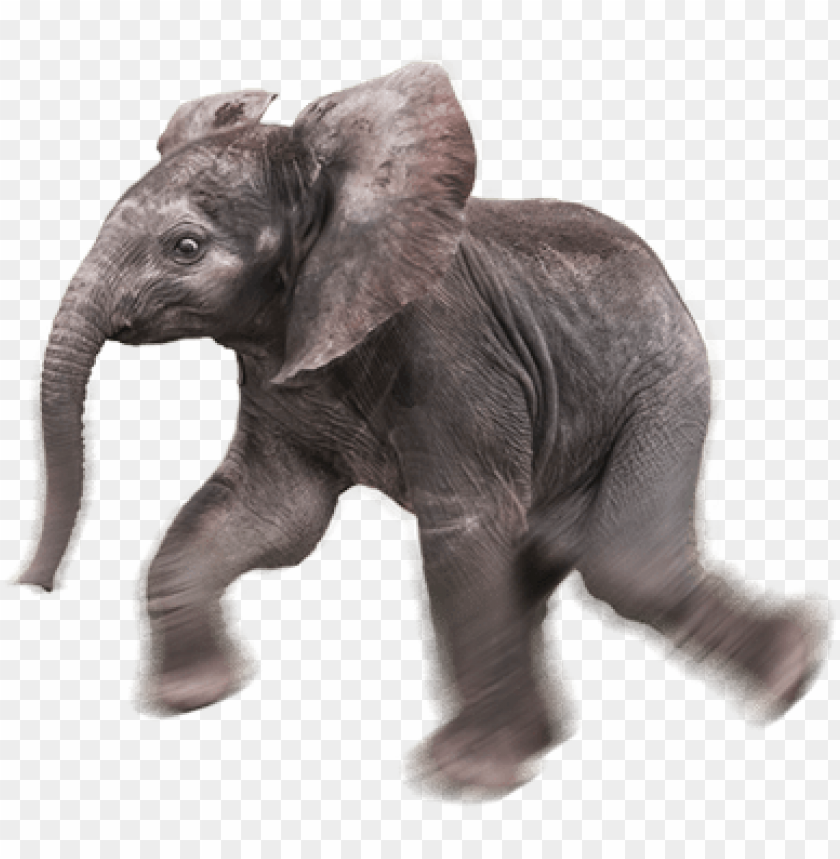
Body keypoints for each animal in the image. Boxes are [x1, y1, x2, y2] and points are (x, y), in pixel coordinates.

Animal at [18, 63, 828, 797]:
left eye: (184, 247)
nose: (34, 585)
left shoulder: (454, 352)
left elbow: (462, 528)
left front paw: (467, 779)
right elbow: (273, 510)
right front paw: (193, 697)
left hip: (667, 384)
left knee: (627, 564)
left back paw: (794, 671)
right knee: (549, 556)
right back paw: (552, 735)